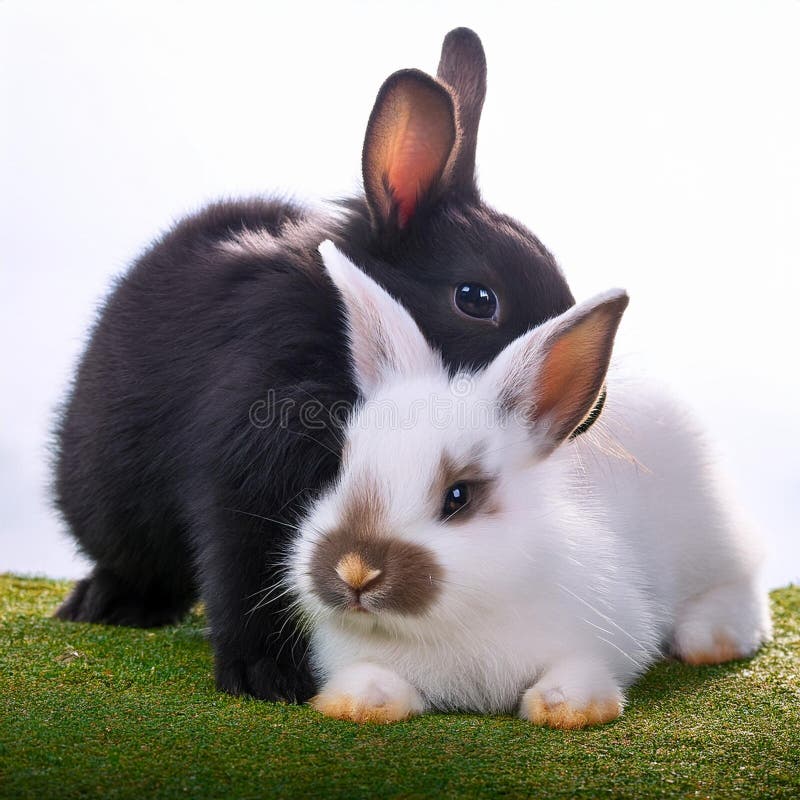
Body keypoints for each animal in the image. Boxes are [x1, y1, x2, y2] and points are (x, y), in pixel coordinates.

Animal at [52, 28, 580, 704]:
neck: (335, 338)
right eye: (476, 298)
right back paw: (105, 603)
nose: (593, 406)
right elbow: (250, 583)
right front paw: (267, 678)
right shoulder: (243, 480)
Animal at [288, 241, 772, 728]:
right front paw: (356, 703)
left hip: (714, 536)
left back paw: (712, 639)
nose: (354, 570)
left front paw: (568, 708)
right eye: (341, 468)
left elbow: (578, 672)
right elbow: (370, 678)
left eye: (459, 495)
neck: (457, 618)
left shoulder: (605, 633)